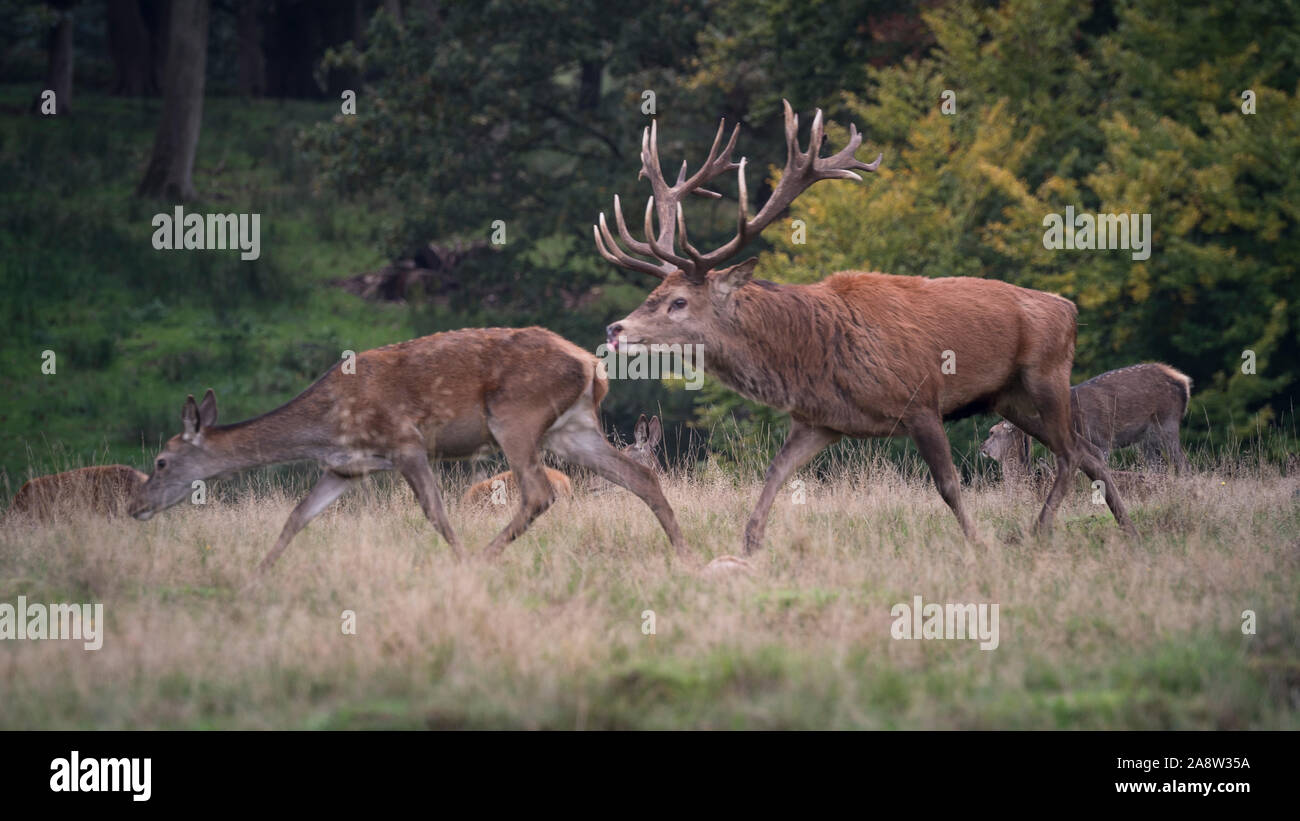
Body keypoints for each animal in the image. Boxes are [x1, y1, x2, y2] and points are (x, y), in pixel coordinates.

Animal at [592, 100, 1135, 557]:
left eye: (679, 301)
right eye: (655, 293)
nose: (616, 328)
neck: (814, 353)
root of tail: (1069, 308)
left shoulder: (920, 399)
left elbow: (948, 485)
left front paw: (978, 543)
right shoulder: (820, 420)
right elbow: (773, 475)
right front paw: (748, 546)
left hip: (1045, 374)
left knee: (1069, 453)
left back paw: (1038, 531)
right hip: (1009, 397)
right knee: (1086, 450)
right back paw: (1129, 528)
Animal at [980, 362, 1192, 478]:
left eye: (992, 432)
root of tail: (1184, 381)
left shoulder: (1100, 440)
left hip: (1167, 422)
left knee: (1182, 462)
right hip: (1146, 438)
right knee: (1158, 466)